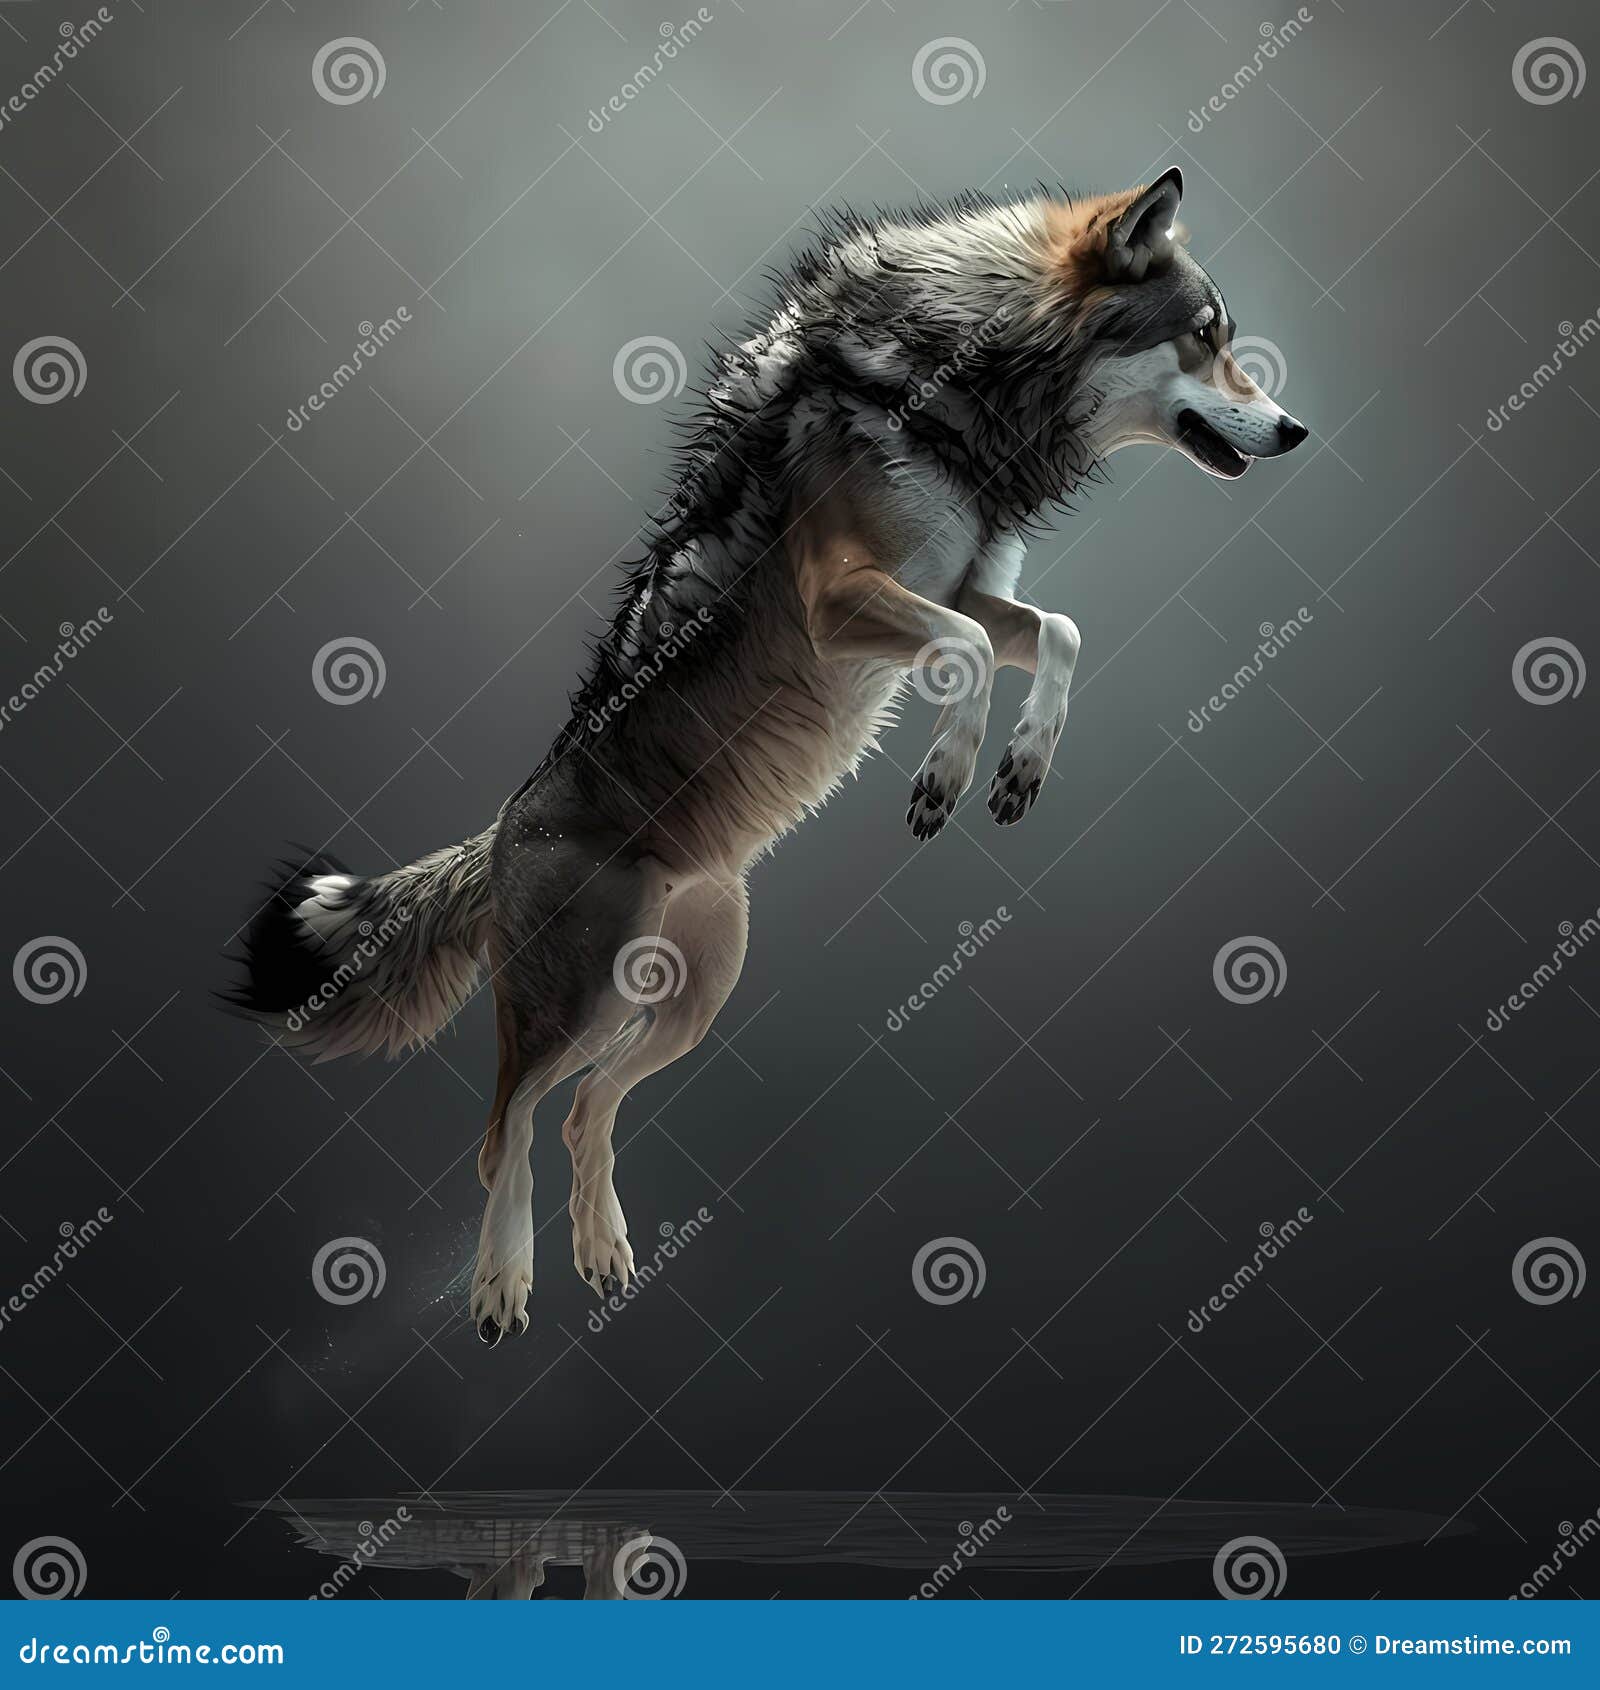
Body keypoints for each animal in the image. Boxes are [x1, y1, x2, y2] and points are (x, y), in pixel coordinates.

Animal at [228, 168, 1306, 1343]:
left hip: (691, 1001)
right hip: (573, 1005)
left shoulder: (964, 590)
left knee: (584, 1111)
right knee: (503, 1129)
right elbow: (976, 654)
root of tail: (505, 820)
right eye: (1206, 337)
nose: (1295, 429)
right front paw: (941, 780)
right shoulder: (851, 602)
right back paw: (502, 1283)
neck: (956, 389)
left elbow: (1057, 632)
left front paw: (1020, 770)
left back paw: (603, 1254)